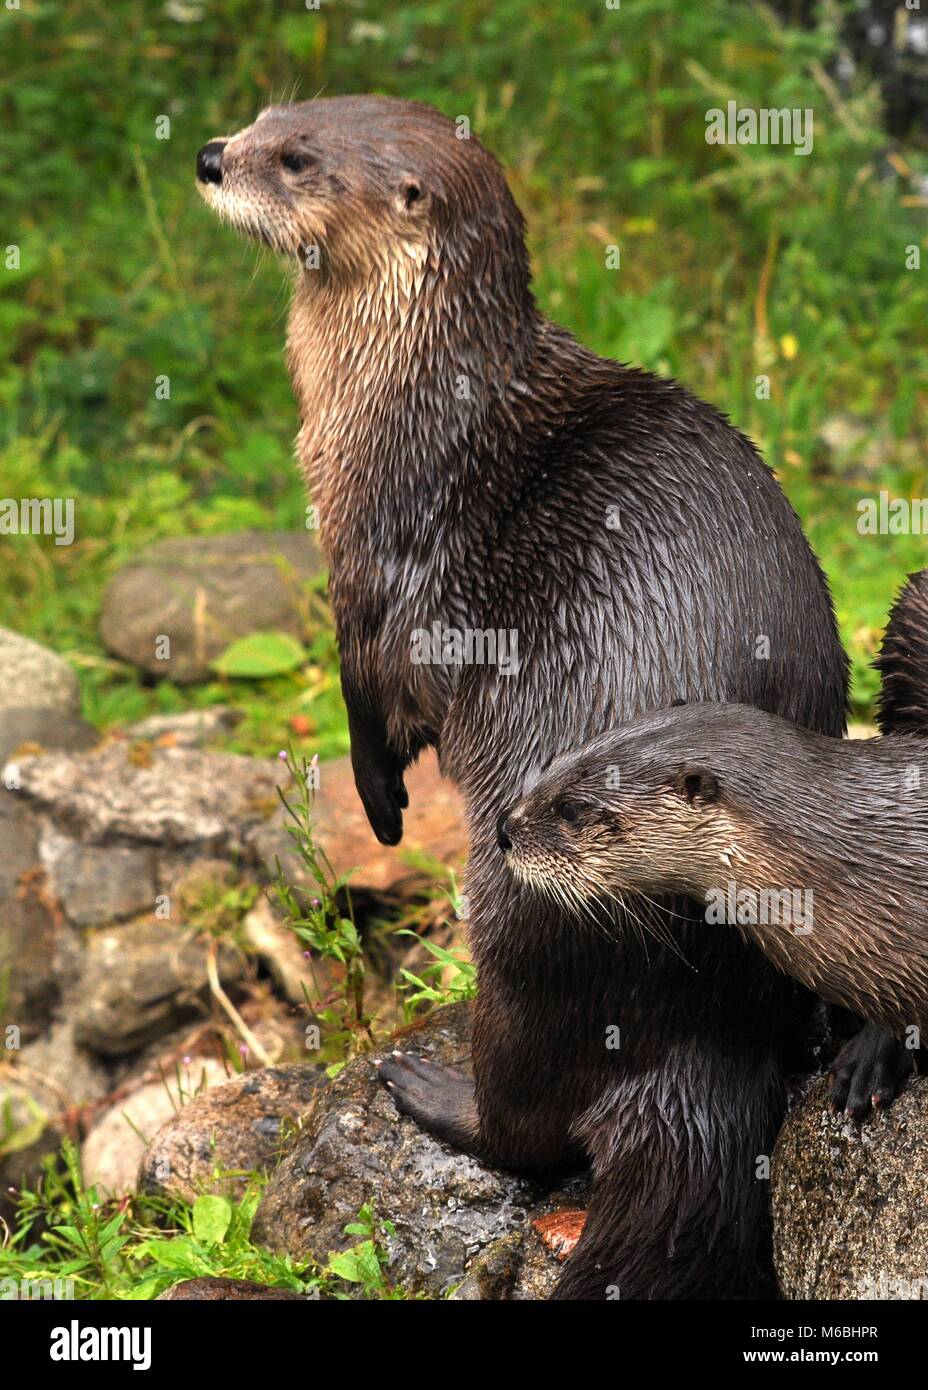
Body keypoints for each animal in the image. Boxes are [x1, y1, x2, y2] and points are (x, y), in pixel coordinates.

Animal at [198, 94, 871, 1299]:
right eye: (268, 113)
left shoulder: (374, 565)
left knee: (531, 1124)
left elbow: (374, 701)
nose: (210, 156)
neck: (399, 402)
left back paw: (431, 1093)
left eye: (297, 158)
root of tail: (700, 1045)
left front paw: (379, 803)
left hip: (521, 911)